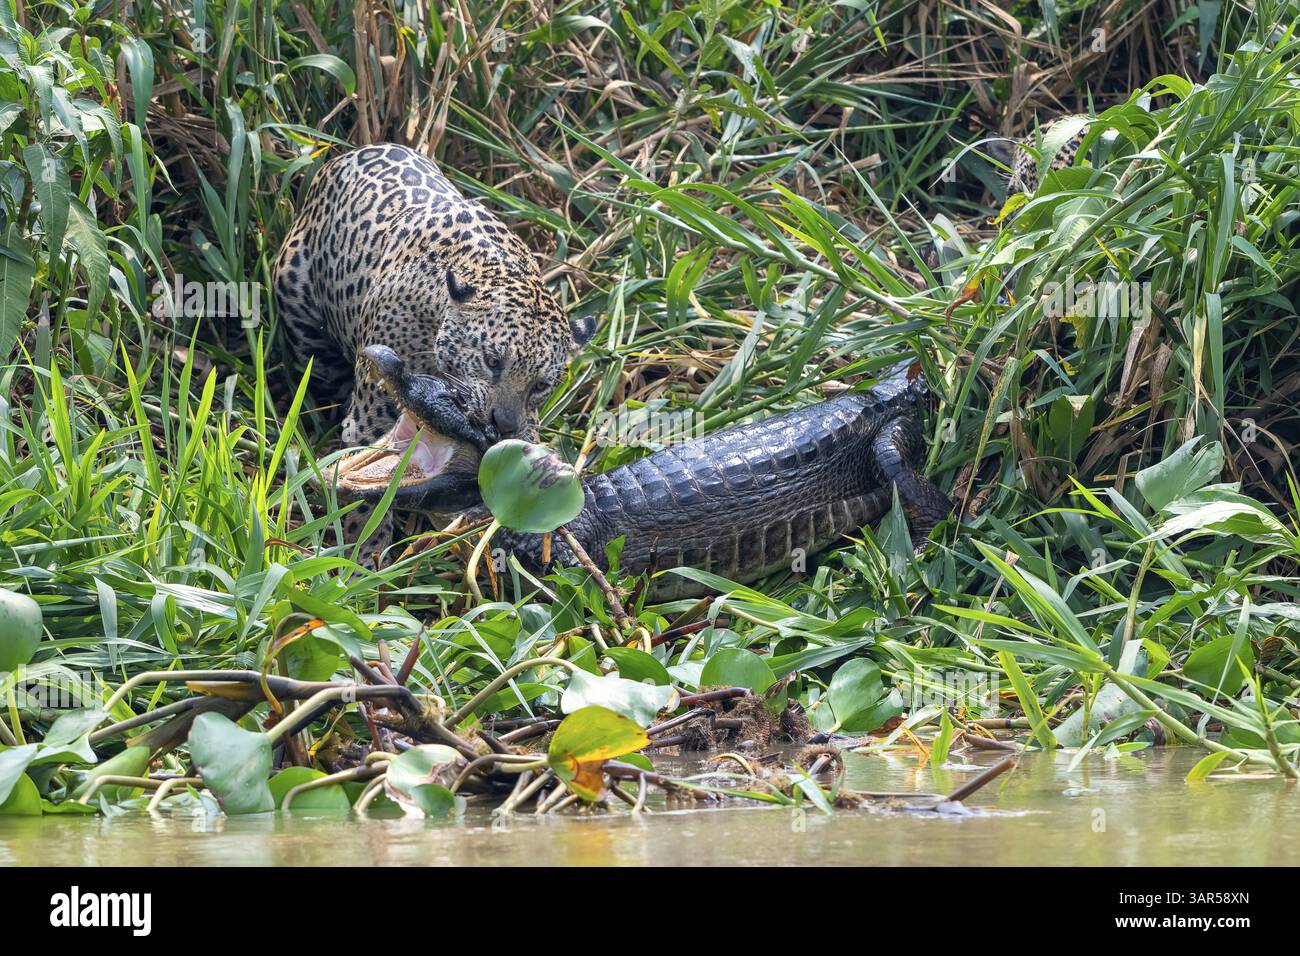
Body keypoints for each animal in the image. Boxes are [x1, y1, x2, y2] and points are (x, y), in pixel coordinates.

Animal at [273, 143, 595, 562]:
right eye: (492, 360)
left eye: (542, 385)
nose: (504, 425)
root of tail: (346, 155)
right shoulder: (367, 421)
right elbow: (369, 499)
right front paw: (365, 559)